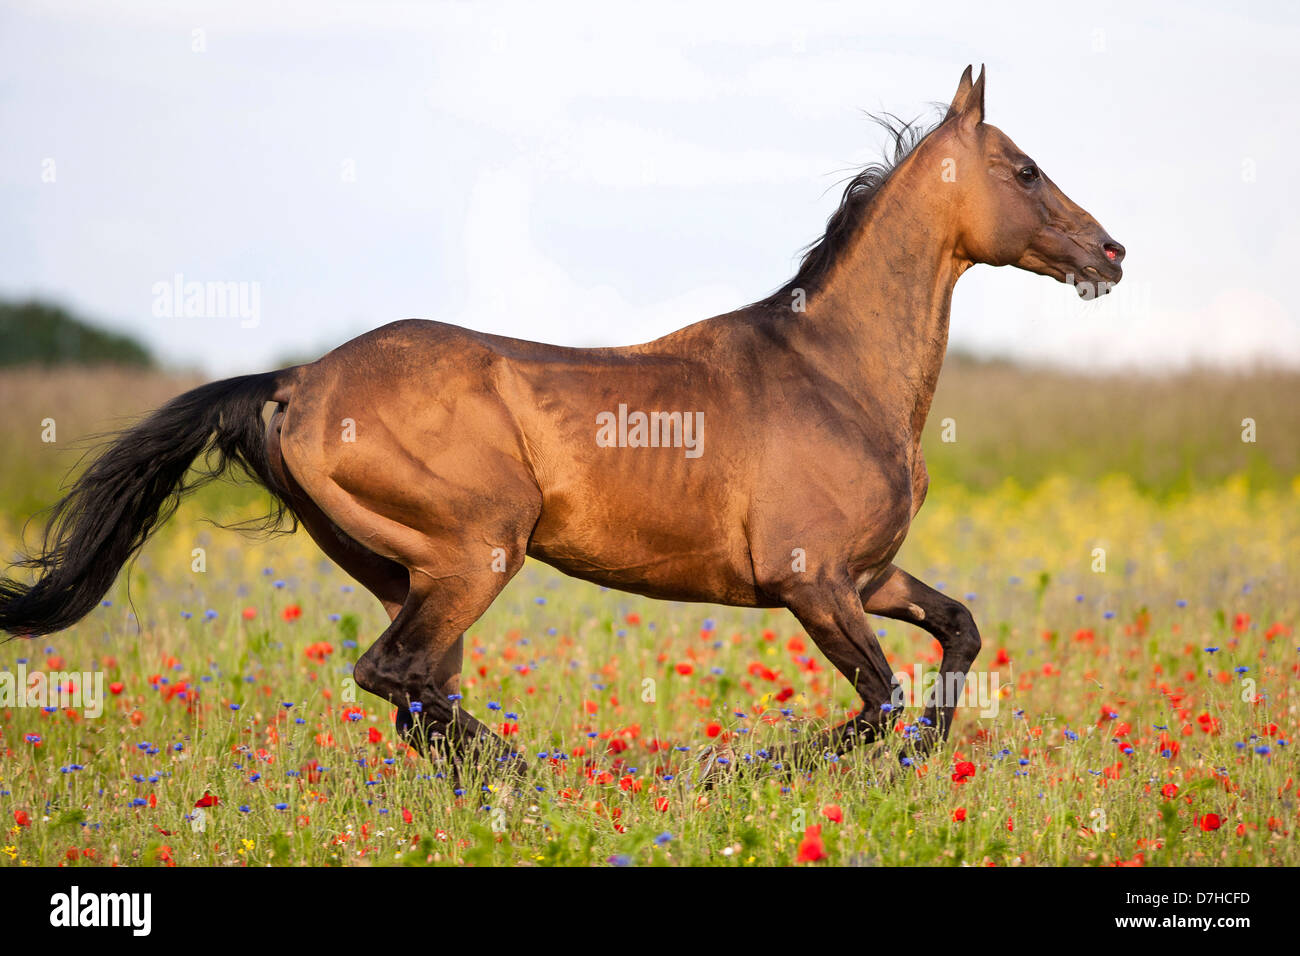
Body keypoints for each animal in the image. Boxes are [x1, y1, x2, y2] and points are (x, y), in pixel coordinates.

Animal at [0, 66, 1123, 779]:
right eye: (1023, 168)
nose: (1111, 252)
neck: (837, 373)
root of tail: (296, 384)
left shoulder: (866, 573)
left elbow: (957, 632)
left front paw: (915, 757)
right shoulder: (811, 580)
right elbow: (879, 697)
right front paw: (745, 771)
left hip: (404, 569)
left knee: (418, 694)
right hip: (478, 550)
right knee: (399, 677)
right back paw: (529, 776)